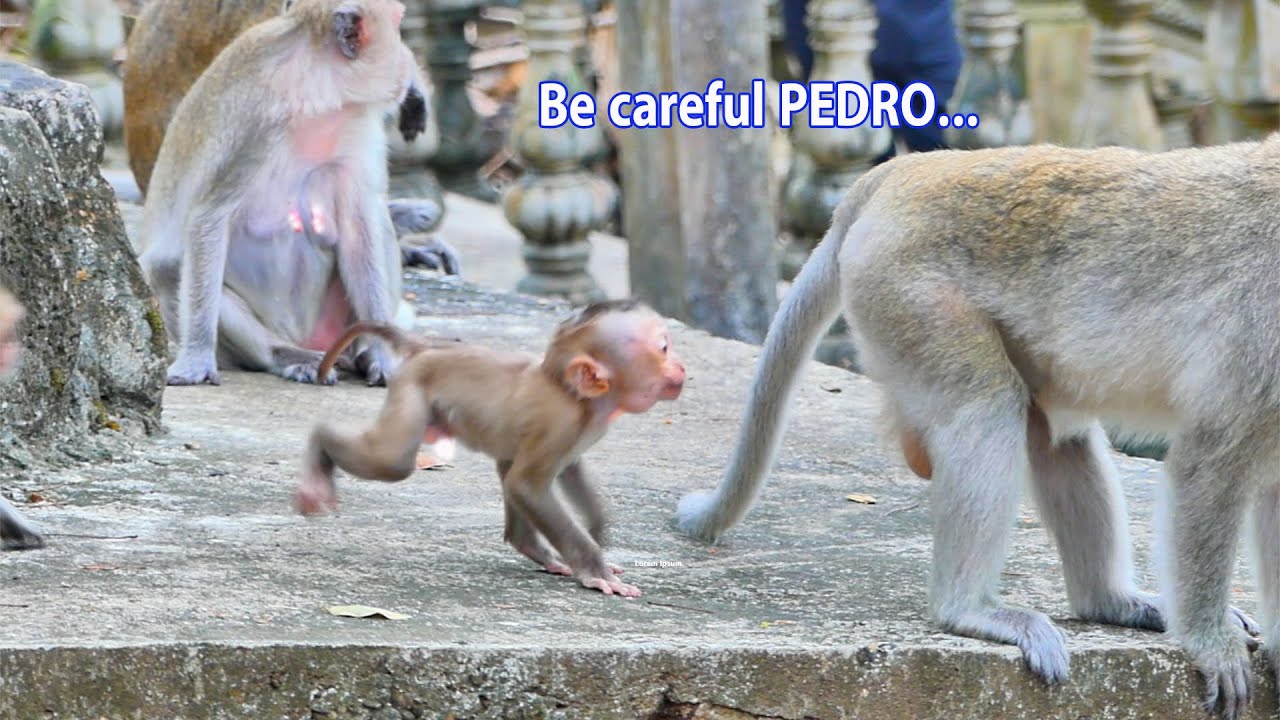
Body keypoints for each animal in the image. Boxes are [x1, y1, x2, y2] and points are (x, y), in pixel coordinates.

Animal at [136, 0, 438, 387]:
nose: (405, 59)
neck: (316, 91)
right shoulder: (254, 126)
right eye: (399, 27)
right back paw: (286, 355)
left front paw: (382, 353)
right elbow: (208, 216)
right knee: (169, 269)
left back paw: (365, 350)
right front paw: (197, 357)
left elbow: (358, 229)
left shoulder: (356, 128)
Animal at [295, 299, 687, 597]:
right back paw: (319, 447)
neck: (579, 398)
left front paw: (598, 531)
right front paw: (595, 569)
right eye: (663, 348)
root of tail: (429, 348)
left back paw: (531, 546)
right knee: (392, 461)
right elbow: (525, 485)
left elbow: (564, 472)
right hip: (411, 388)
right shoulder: (560, 423)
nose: (681, 366)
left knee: (507, 462)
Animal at [674, 137, 1279, 718]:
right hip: (908, 291)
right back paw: (967, 611)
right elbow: (1209, 461)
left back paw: (1109, 601)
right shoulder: (1260, 333)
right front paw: (1210, 645)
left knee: (1055, 435)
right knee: (985, 407)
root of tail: (902, 172)